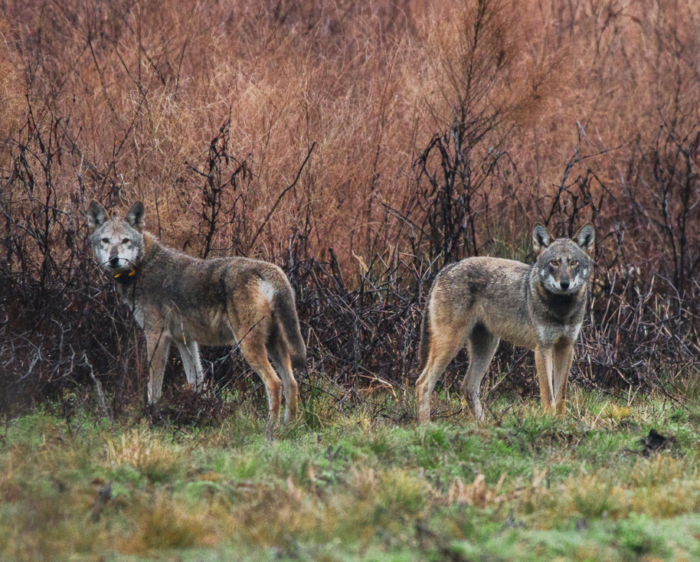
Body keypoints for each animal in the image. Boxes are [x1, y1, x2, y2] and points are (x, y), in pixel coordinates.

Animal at [87, 200, 306, 424]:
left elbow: (154, 387)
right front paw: (201, 410)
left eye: (125, 240)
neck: (142, 266)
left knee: (274, 383)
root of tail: (273, 271)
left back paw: (272, 427)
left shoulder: (157, 336)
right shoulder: (185, 340)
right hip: (273, 345)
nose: (114, 259)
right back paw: (289, 425)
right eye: (105, 240)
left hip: (248, 345)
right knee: (292, 382)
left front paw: (152, 416)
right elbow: (196, 381)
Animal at [416, 224, 595, 424]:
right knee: (423, 384)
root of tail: (447, 267)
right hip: (451, 344)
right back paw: (426, 427)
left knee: (468, 386)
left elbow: (561, 395)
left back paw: (484, 425)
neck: (562, 309)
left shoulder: (566, 346)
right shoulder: (542, 349)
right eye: (554, 263)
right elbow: (548, 396)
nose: (564, 284)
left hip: (487, 348)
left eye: (573, 263)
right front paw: (549, 422)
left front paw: (561, 422)